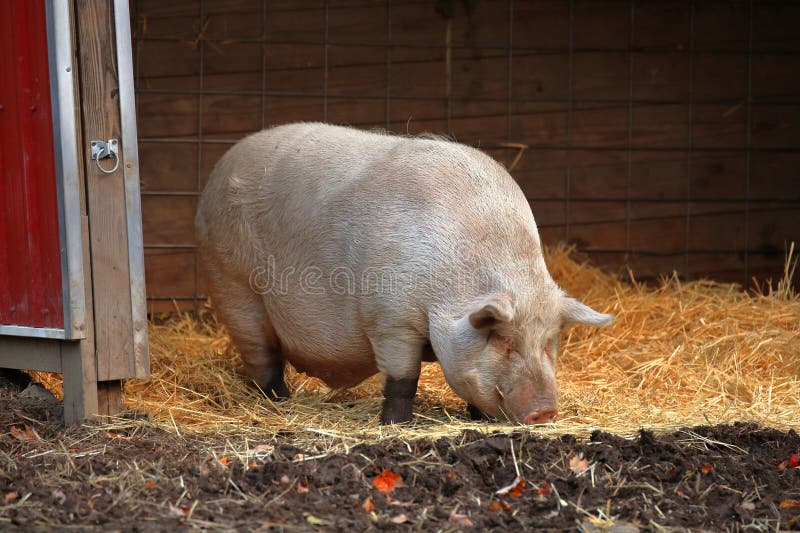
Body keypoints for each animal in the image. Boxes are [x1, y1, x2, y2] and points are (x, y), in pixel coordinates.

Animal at [195, 122, 612, 425]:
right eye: (504, 341)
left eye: (550, 342)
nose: (545, 411)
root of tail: (219, 169)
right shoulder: (390, 319)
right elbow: (402, 378)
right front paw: (395, 424)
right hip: (232, 283)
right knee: (262, 359)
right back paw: (280, 403)